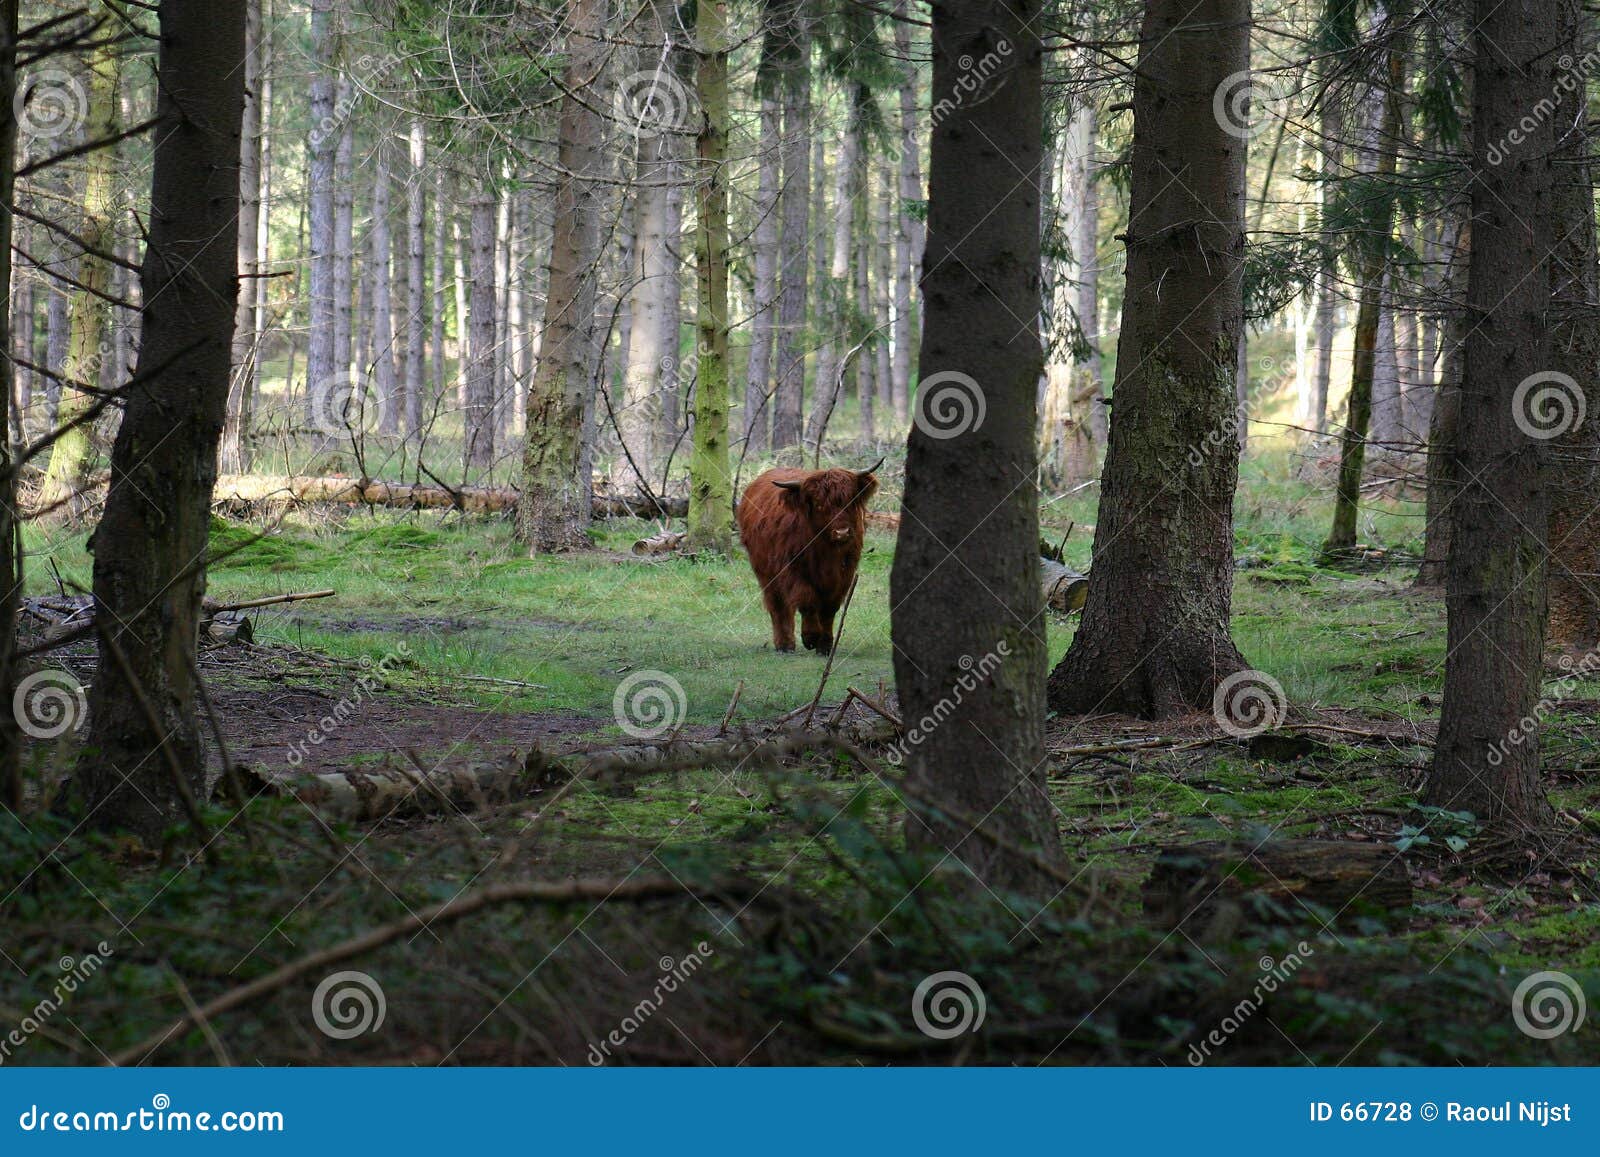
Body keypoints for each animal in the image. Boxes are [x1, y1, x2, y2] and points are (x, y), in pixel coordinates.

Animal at [736, 461, 881, 655]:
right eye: (819, 504)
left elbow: (829, 609)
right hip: (766, 573)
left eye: (850, 500)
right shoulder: (792, 570)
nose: (842, 532)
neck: (826, 549)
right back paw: (785, 645)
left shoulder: (844, 574)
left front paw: (825, 645)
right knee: (778, 606)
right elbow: (807, 600)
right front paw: (810, 638)